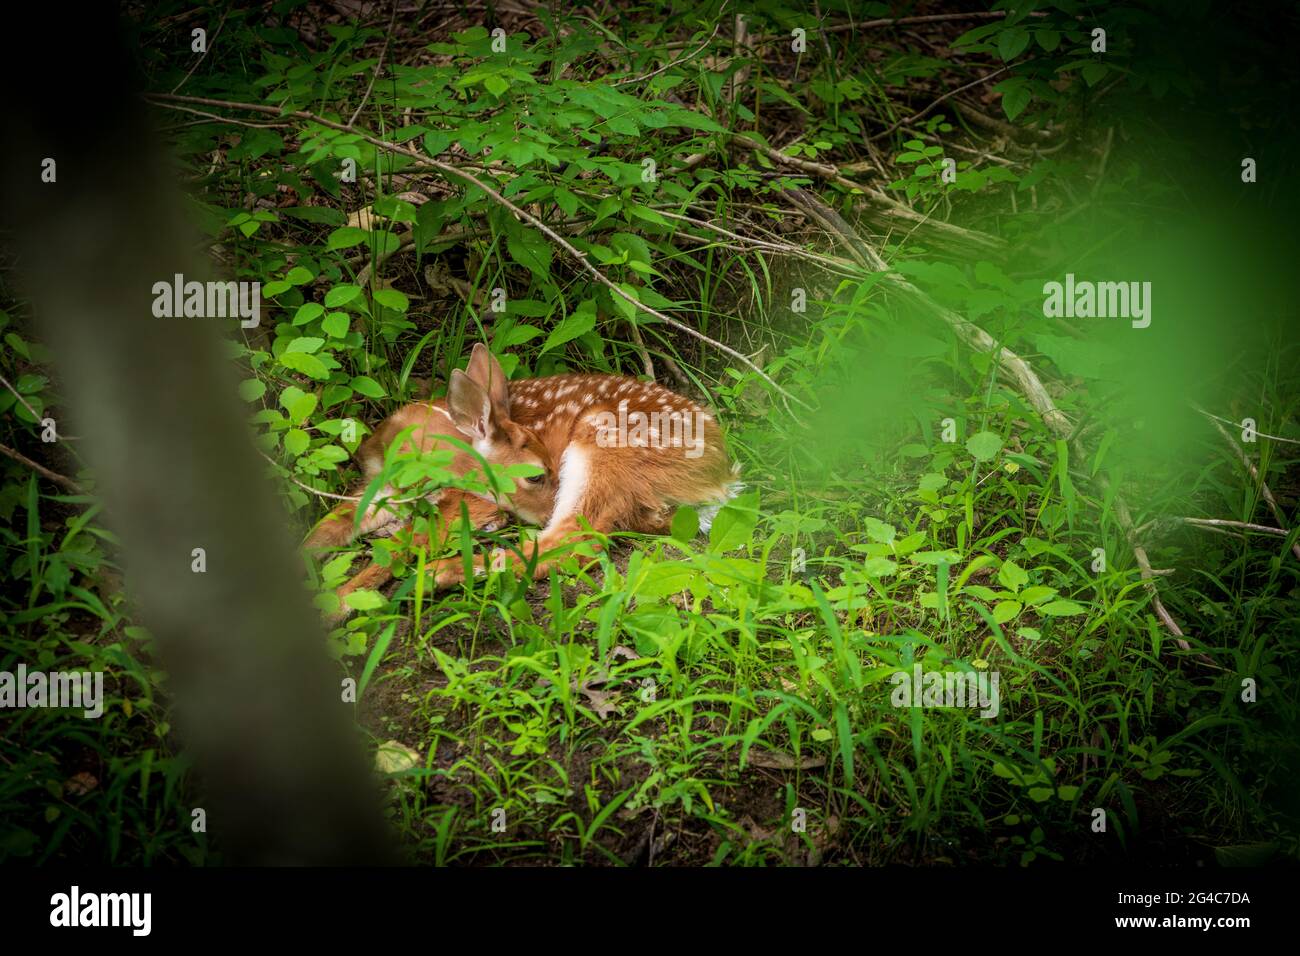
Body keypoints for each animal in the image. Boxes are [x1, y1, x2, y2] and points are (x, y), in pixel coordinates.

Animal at [305, 344, 741, 619]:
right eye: (534, 475)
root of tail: (720, 476)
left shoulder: (469, 500)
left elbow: (401, 546)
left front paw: (335, 606)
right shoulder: (377, 488)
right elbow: (328, 528)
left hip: (605, 442)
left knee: (574, 540)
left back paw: (435, 574)